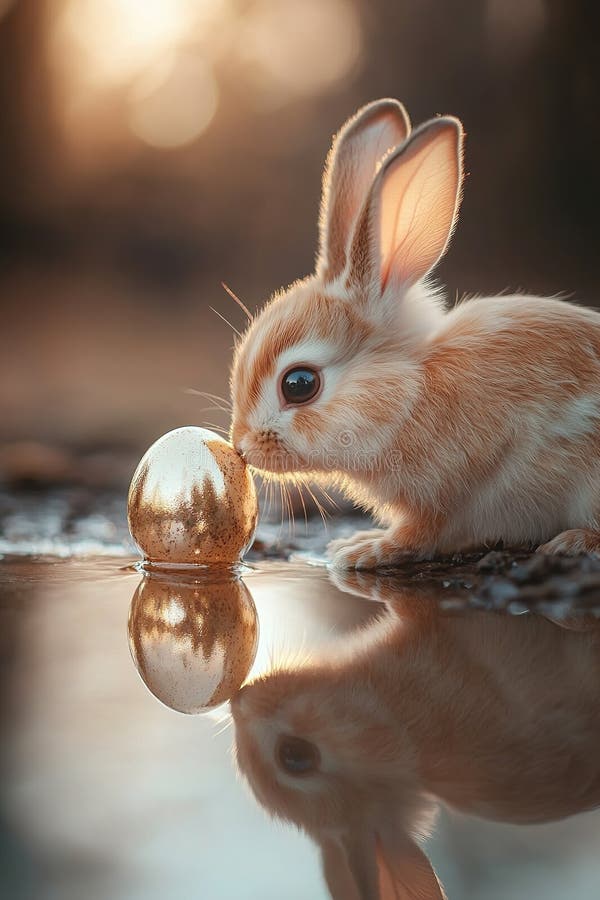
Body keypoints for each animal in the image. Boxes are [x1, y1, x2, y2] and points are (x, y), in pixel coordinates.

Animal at [229, 97, 600, 569]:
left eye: (299, 384)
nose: (242, 447)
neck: (407, 394)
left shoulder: (454, 489)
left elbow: (422, 532)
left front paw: (362, 549)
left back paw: (572, 543)